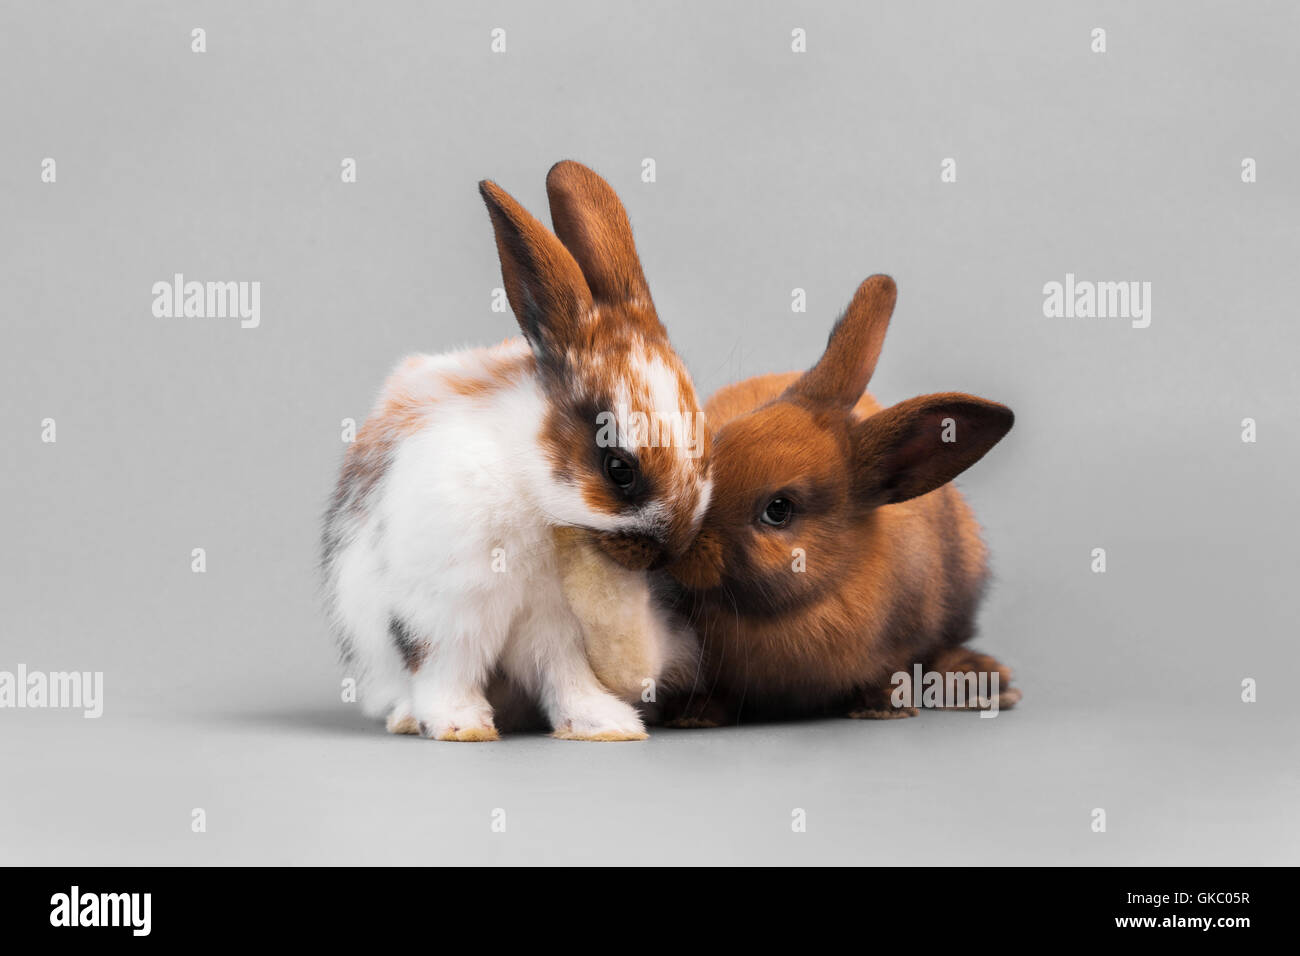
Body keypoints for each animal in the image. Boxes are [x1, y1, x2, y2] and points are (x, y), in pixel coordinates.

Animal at [321, 161, 711, 741]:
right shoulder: (446, 614)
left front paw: (604, 724)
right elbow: (446, 672)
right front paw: (462, 726)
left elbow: (565, 675)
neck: (530, 489)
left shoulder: (554, 625)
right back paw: (412, 718)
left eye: (704, 447)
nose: (670, 551)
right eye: (618, 468)